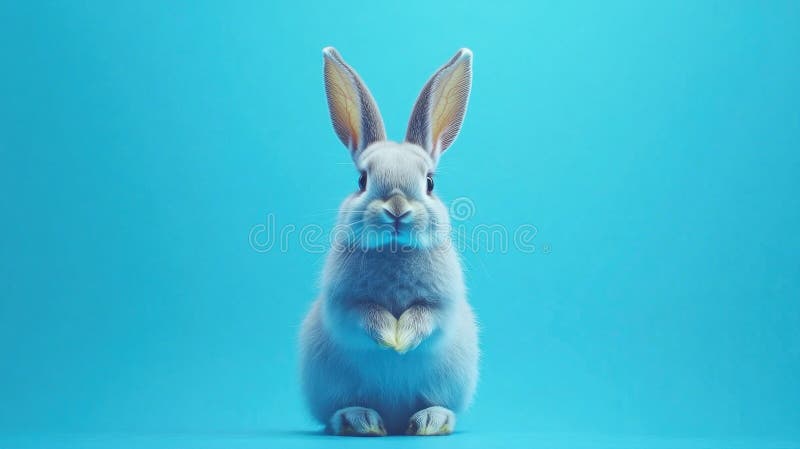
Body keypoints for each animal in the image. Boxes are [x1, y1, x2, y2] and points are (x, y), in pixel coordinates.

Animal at [299, 47, 478, 436]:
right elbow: (365, 315)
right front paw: (389, 337)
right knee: (339, 412)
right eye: (362, 180)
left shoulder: (441, 305)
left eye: (430, 182)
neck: (394, 251)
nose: (397, 208)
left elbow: (425, 316)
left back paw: (430, 421)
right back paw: (360, 420)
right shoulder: (344, 305)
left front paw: (401, 339)